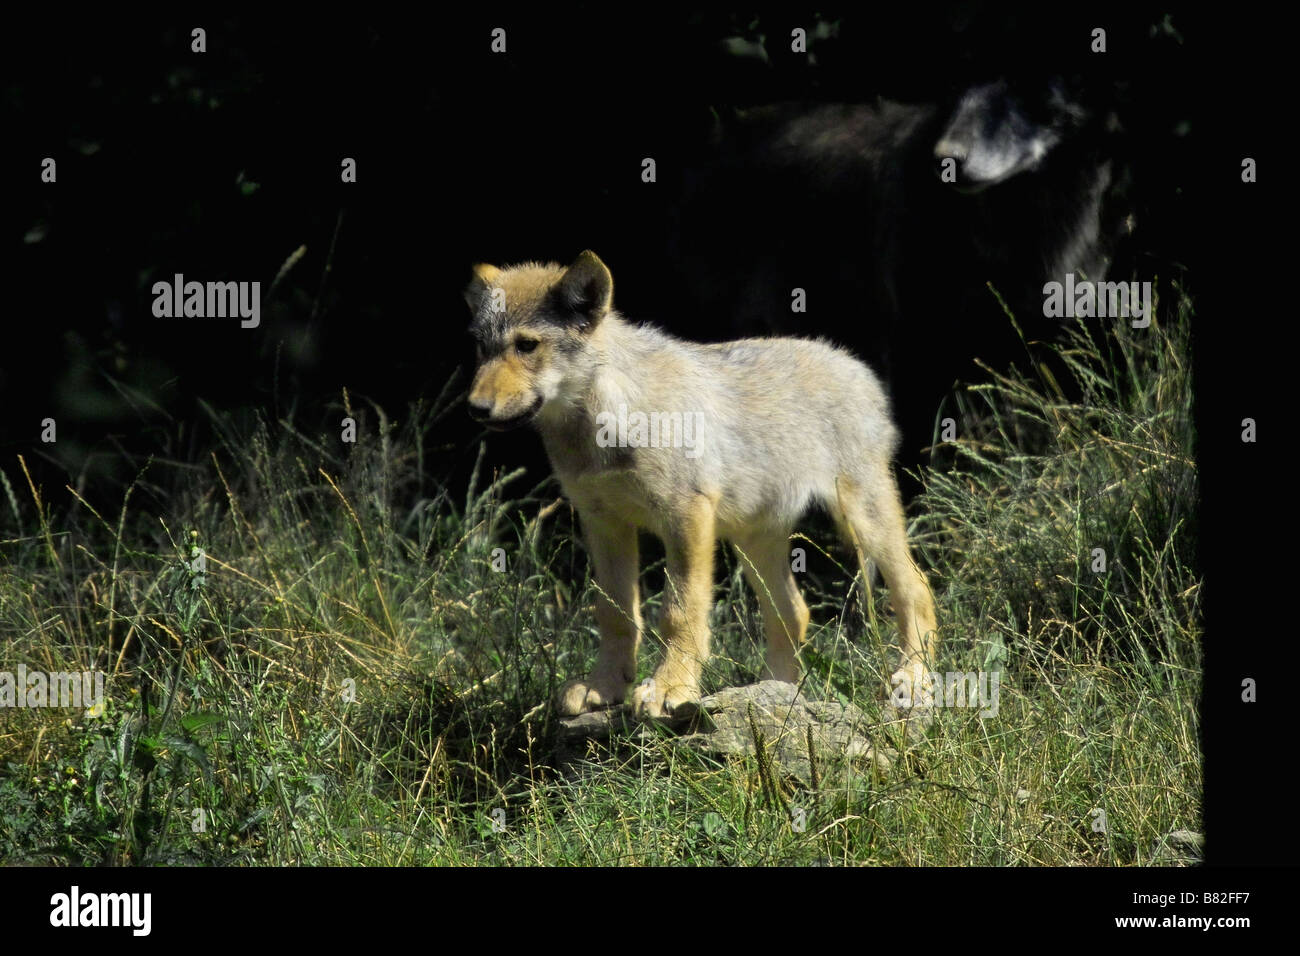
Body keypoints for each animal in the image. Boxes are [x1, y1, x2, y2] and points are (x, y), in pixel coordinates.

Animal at [465, 250, 938, 718]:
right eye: (482, 348)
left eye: (526, 345)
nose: (475, 408)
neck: (604, 418)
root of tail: (854, 365)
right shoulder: (603, 524)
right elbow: (615, 615)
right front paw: (604, 687)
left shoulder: (684, 516)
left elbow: (678, 611)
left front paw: (670, 688)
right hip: (754, 543)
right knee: (795, 612)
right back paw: (776, 693)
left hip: (860, 519)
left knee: (916, 589)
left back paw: (912, 682)